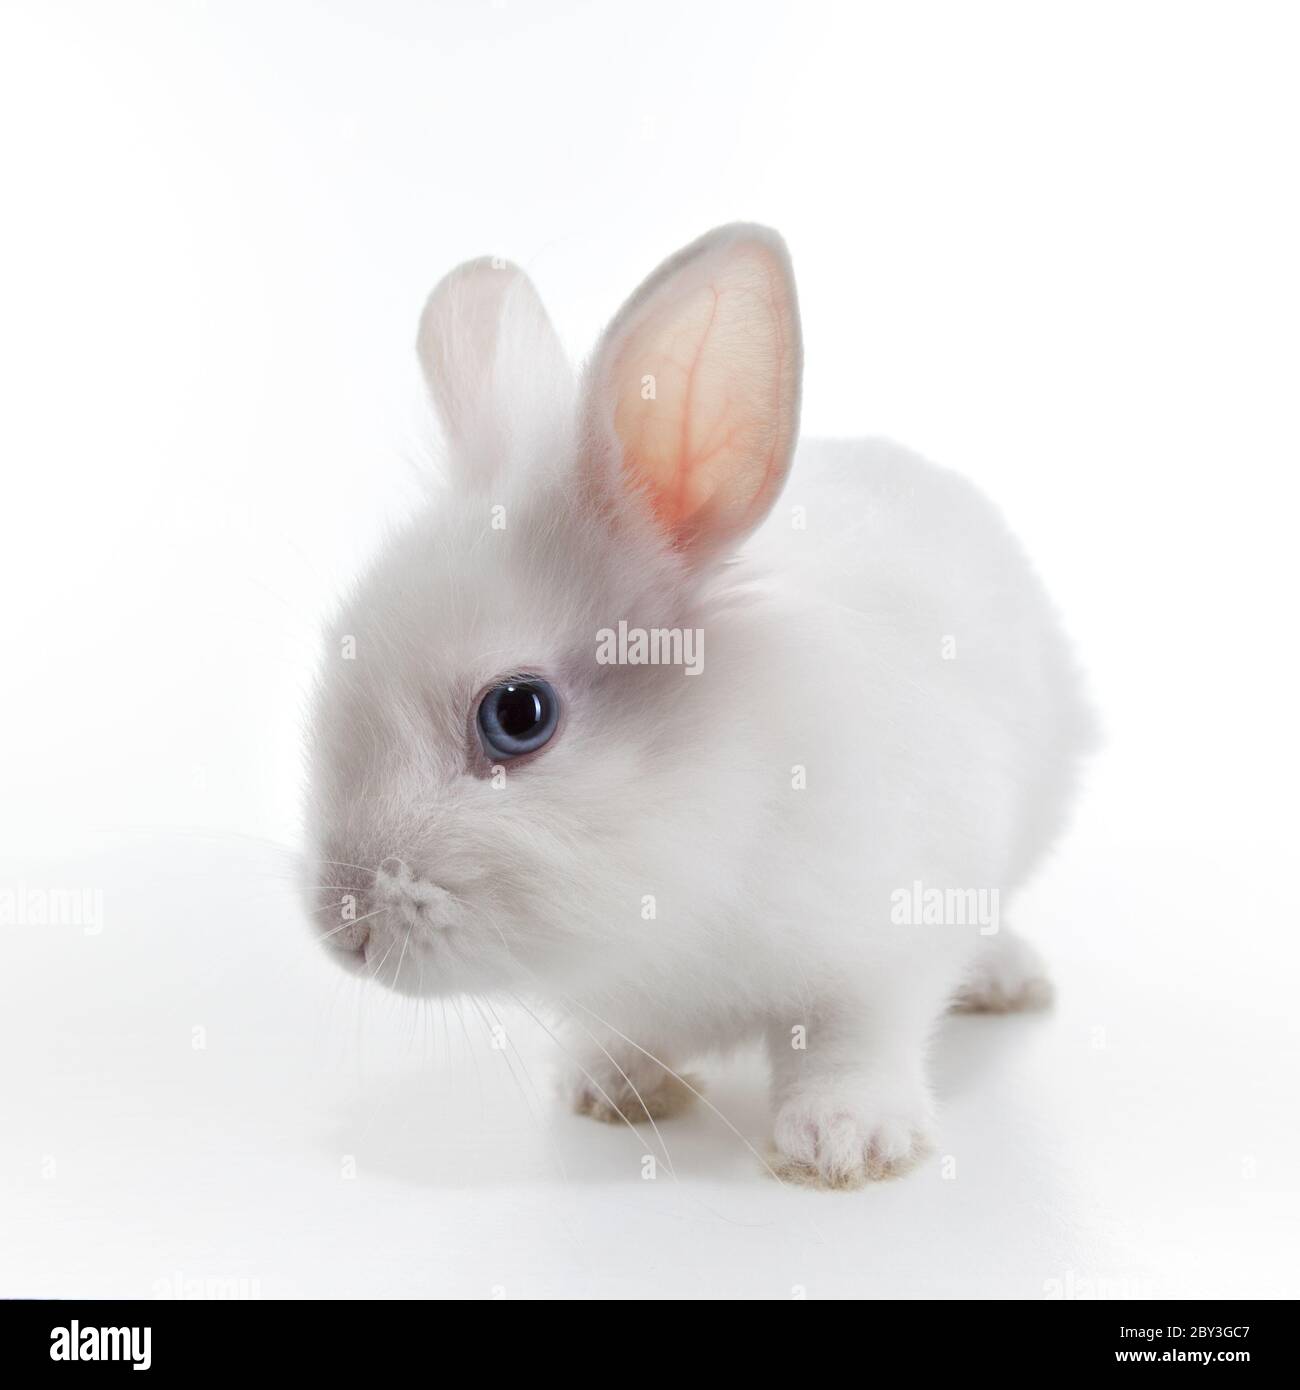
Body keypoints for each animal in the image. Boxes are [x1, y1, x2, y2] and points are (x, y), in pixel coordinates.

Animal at [303, 224, 1095, 1189]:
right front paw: (609, 1092)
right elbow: (626, 1034)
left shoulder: (886, 944)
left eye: (518, 715)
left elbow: (854, 1039)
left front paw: (843, 1146)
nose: (340, 929)